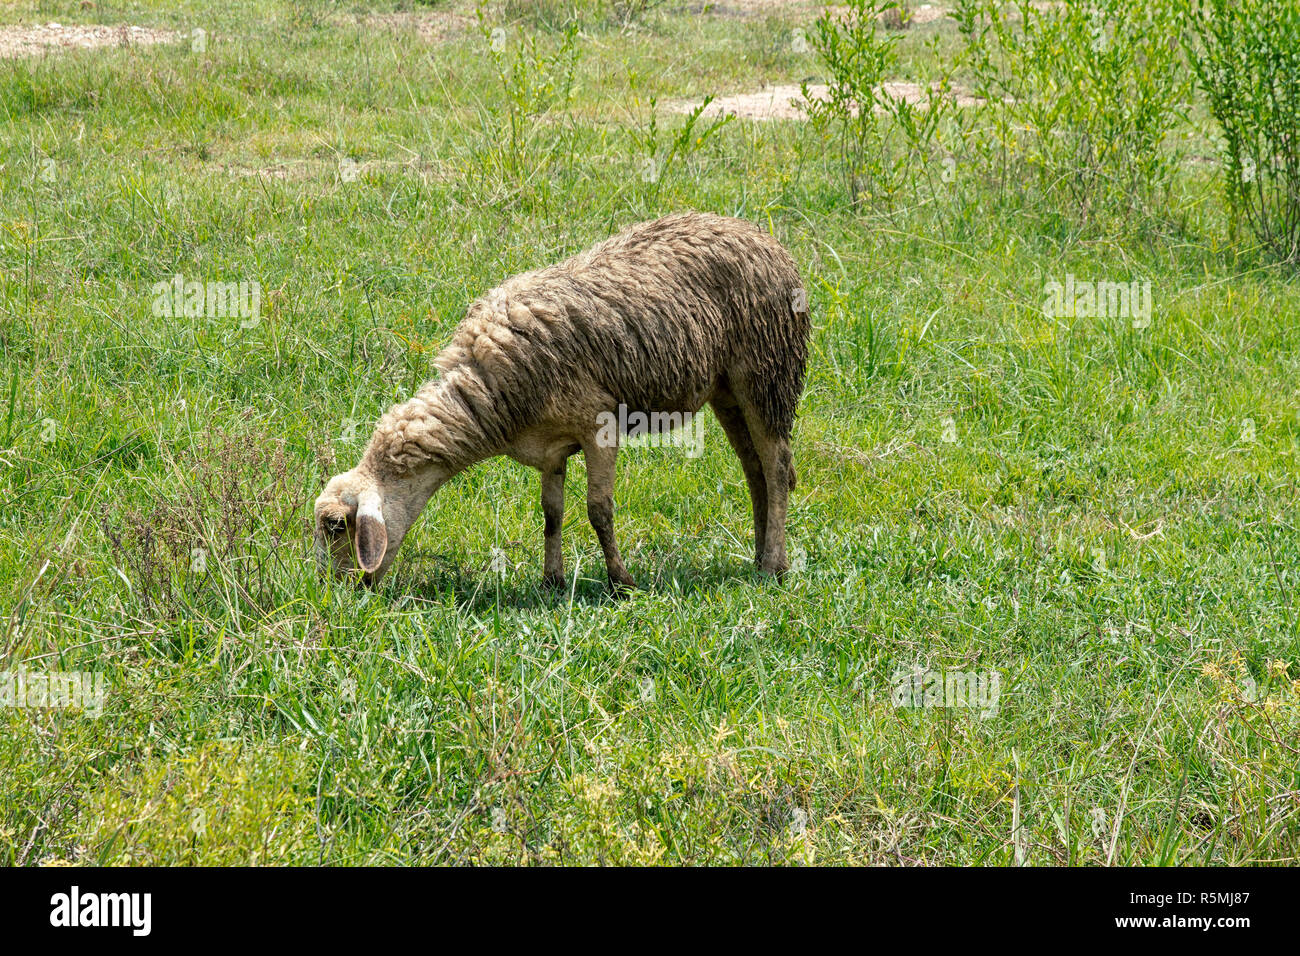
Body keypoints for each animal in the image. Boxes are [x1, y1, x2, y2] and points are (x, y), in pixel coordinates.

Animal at [314, 211, 811, 591]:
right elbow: (551, 513)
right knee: (754, 469)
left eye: (336, 526)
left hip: (767, 374)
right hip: (727, 392)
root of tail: (767, 239)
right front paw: (551, 579)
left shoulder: (599, 427)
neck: (484, 394)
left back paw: (773, 566)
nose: (333, 593)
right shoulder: (550, 447)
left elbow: (599, 511)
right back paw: (762, 554)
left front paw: (621, 582)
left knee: (776, 466)